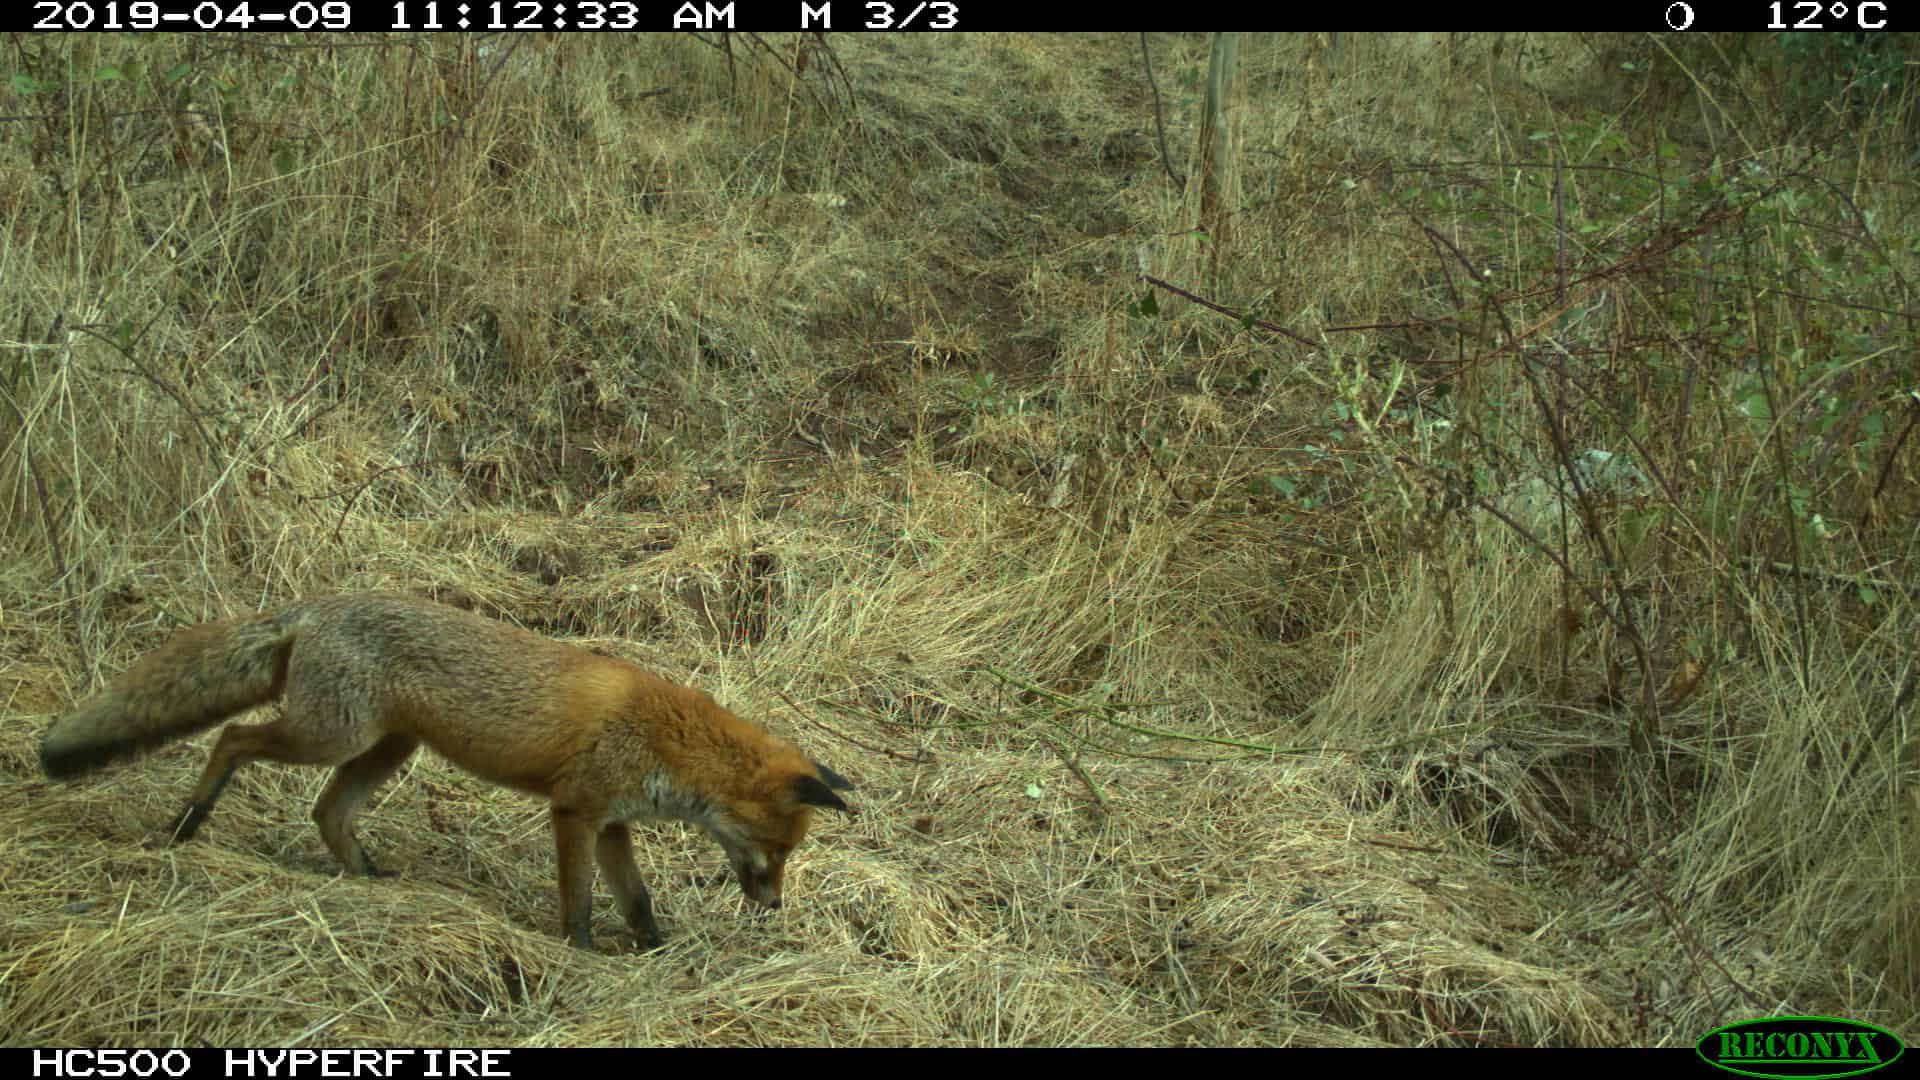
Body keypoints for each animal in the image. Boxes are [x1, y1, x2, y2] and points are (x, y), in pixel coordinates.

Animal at [39, 592, 854, 952]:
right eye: (778, 851)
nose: (776, 906)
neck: (668, 740)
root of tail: (319, 605)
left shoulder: (612, 821)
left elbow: (638, 899)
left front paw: (655, 953)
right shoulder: (575, 810)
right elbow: (581, 901)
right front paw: (582, 952)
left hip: (386, 750)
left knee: (327, 812)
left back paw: (366, 878)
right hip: (330, 735)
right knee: (234, 737)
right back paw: (190, 821)